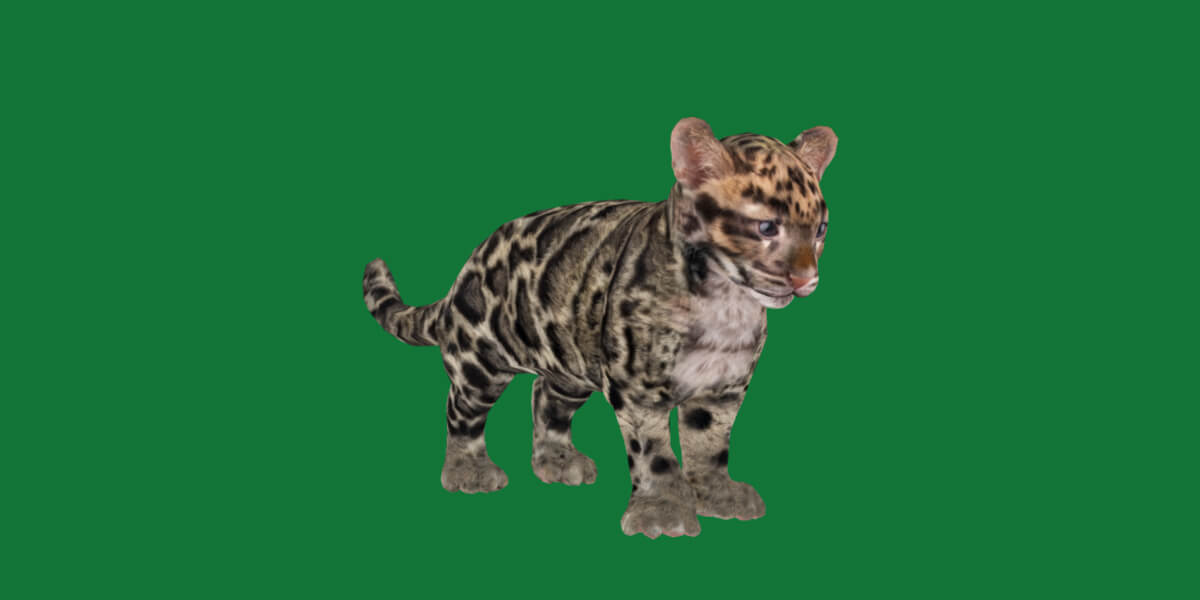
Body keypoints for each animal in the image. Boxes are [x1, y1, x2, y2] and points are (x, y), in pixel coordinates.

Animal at [363, 117, 837, 538]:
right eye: (766, 227)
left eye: (820, 229)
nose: (806, 280)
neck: (726, 303)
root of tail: (465, 271)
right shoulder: (638, 389)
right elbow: (655, 454)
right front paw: (663, 511)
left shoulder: (722, 390)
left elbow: (710, 445)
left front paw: (716, 494)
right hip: (480, 360)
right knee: (460, 411)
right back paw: (469, 469)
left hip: (569, 360)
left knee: (545, 398)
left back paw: (557, 459)